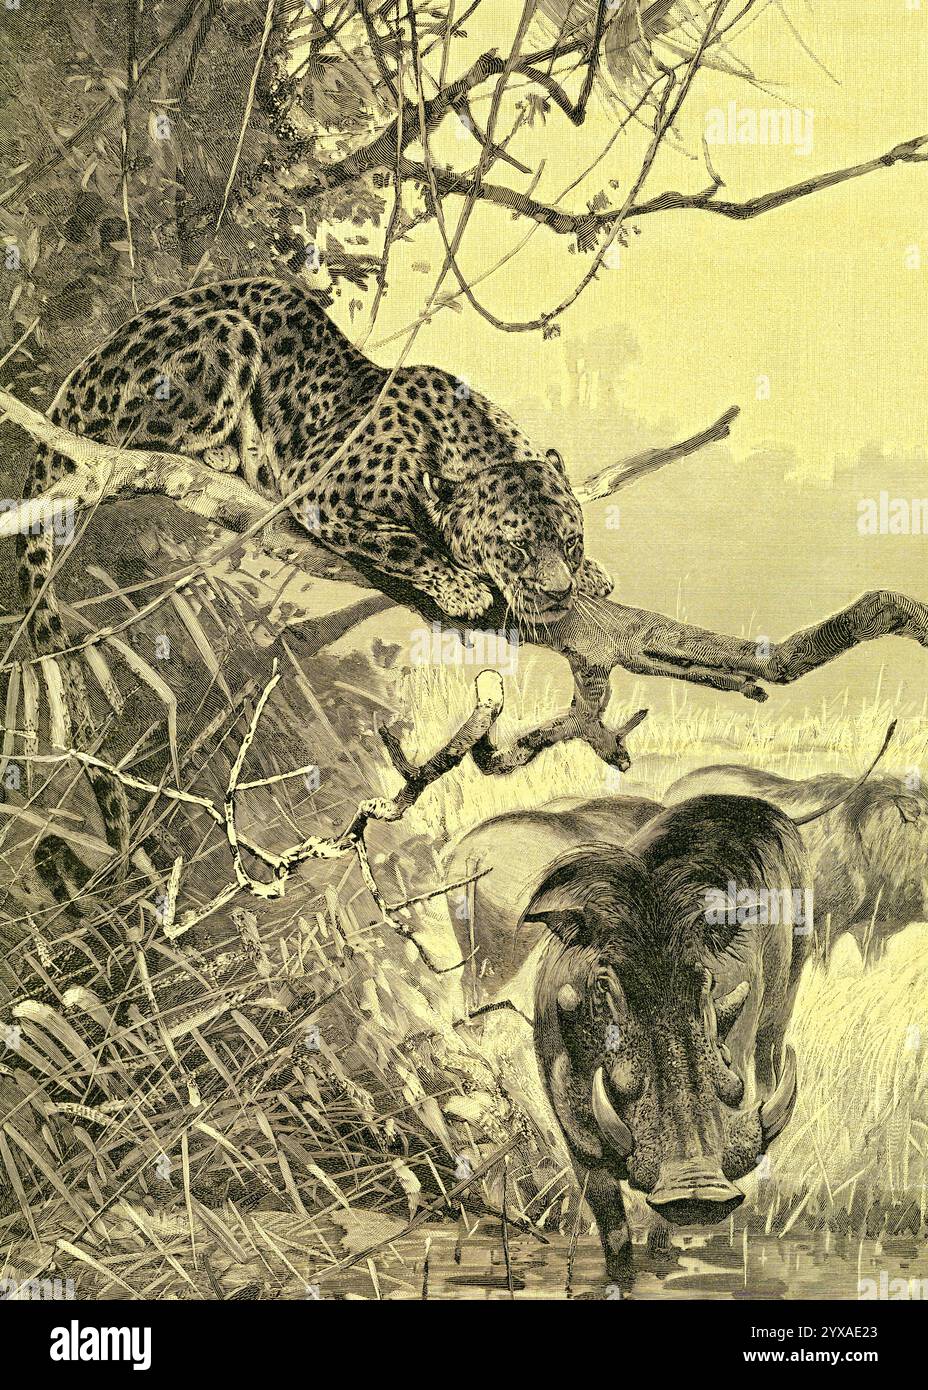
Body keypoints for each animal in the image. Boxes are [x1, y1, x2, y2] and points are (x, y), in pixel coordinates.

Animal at [15, 276, 613, 900]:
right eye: (516, 549)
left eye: (570, 542)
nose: (559, 592)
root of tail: (69, 390)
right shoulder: (322, 493)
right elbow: (404, 544)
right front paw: (461, 586)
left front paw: (592, 576)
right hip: (220, 341)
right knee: (147, 437)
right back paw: (220, 451)